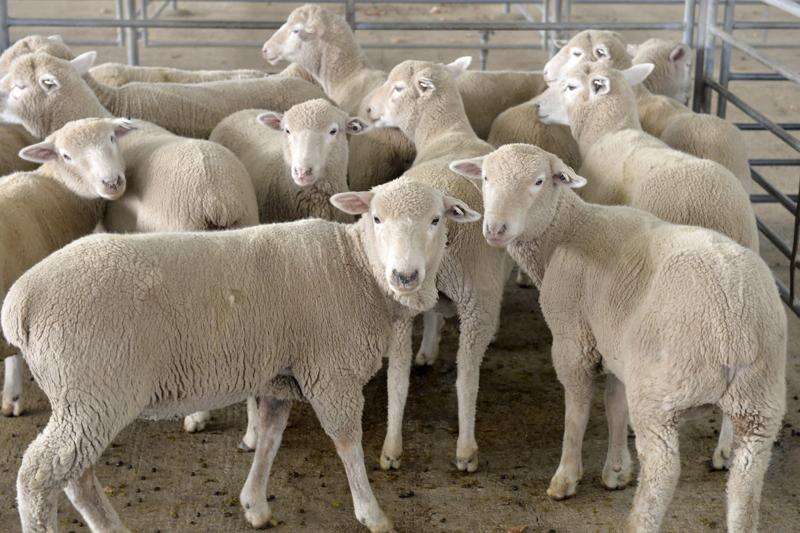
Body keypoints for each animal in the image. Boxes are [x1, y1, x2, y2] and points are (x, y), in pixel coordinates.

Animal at [2, 179, 481, 533]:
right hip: (94, 391)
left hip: (82, 399)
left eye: (436, 219)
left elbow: (269, 438)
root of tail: (21, 301)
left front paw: (254, 505)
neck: (357, 267)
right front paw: (372, 513)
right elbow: (347, 442)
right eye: (376, 217)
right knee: (39, 476)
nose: (405, 276)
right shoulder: (333, 374)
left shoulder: (282, 378)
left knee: (76, 476)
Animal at [366, 58, 512, 473]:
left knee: (398, 377)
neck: (446, 134)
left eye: (398, 88)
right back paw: (465, 449)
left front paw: (426, 350)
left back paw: (392, 447)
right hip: (475, 294)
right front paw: (430, 350)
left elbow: (431, 313)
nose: (368, 109)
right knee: (467, 376)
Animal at [450, 142, 786, 533]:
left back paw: (638, 520)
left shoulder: (573, 341)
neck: (566, 232)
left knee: (662, 473)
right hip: (759, 404)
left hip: (662, 397)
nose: (495, 229)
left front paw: (567, 476)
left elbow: (577, 412)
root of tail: (735, 318)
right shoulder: (616, 346)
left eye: (538, 181)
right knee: (746, 485)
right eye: (486, 177)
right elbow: (614, 406)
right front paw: (615, 470)